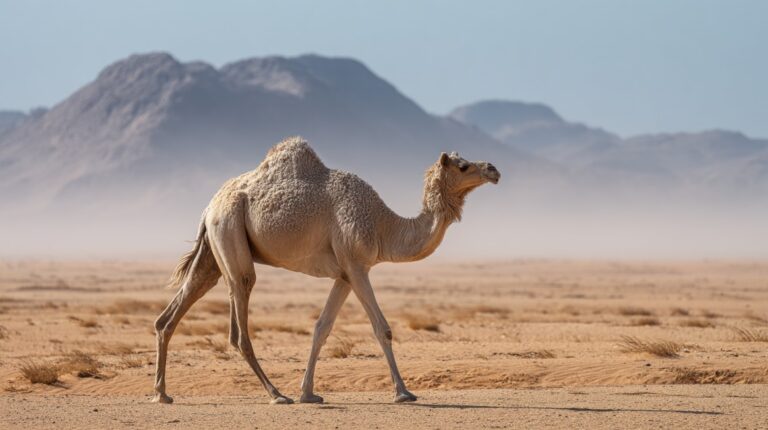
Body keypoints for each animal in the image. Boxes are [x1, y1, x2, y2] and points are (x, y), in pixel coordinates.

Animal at [152, 137, 500, 405]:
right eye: (463, 166)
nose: (493, 169)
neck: (383, 226)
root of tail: (209, 206)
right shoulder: (356, 265)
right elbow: (382, 328)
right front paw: (403, 393)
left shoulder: (344, 274)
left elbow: (322, 328)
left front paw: (309, 393)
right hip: (229, 232)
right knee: (240, 316)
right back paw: (276, 394)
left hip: (213, 248)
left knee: (174, 310)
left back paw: (162, 393)